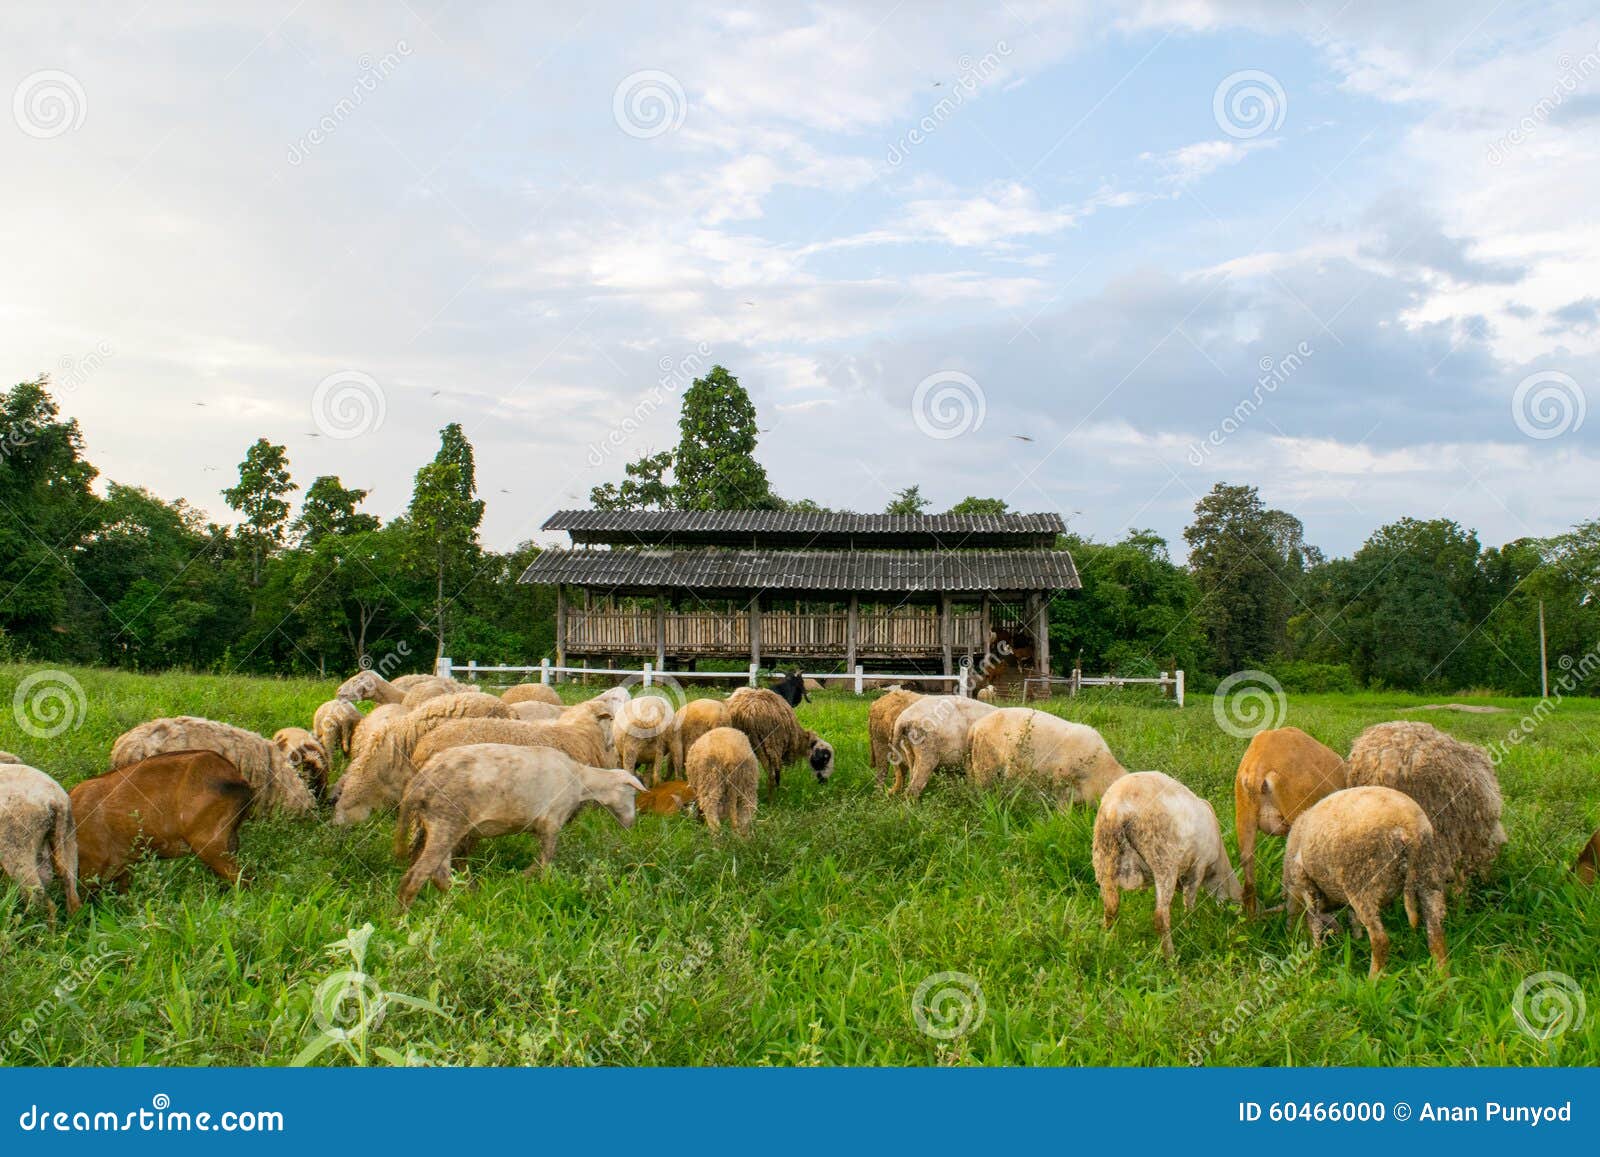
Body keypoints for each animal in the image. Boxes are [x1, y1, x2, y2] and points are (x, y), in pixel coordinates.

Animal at [72, 750, 253, 889]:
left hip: (209, 842)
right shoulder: (123, 867)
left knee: (243, 879)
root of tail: (238, 780)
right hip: (228, 840)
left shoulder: (93, 865)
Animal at [394, 743, 644, 908]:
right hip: (447, 820)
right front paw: (539, 884)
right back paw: (402, 918)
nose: (631, 824)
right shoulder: (552, 822)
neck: (582, 781)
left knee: (440, 874)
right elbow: (545, 862)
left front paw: (518, 879)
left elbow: (540, 860)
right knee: (416, 875)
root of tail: (419, 782)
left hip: (438, 824)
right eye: (632, 793)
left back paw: (466, 898)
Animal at [1092, 771, 1242, 958]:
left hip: (1103, 854)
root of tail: (1117, 809)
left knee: (1111, 907)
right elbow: (1189, 900)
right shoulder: (1198, 865)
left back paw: (1107, 945)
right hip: (1162, 858)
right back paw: (1170, 957)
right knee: (1160, 917)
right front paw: (1190, 926)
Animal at [1283, 786, 1448, 977]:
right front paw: (1356, 941)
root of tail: (1408, 827)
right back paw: (1442, 977)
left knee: (1380, 939)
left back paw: (1372, 979)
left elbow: (1314, 923)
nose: (1290, 936)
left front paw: (1315, 960)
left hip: (1363, 881)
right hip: (1428, 873)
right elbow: (1351, 921)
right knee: (1435, 932)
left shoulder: (1306, 884)